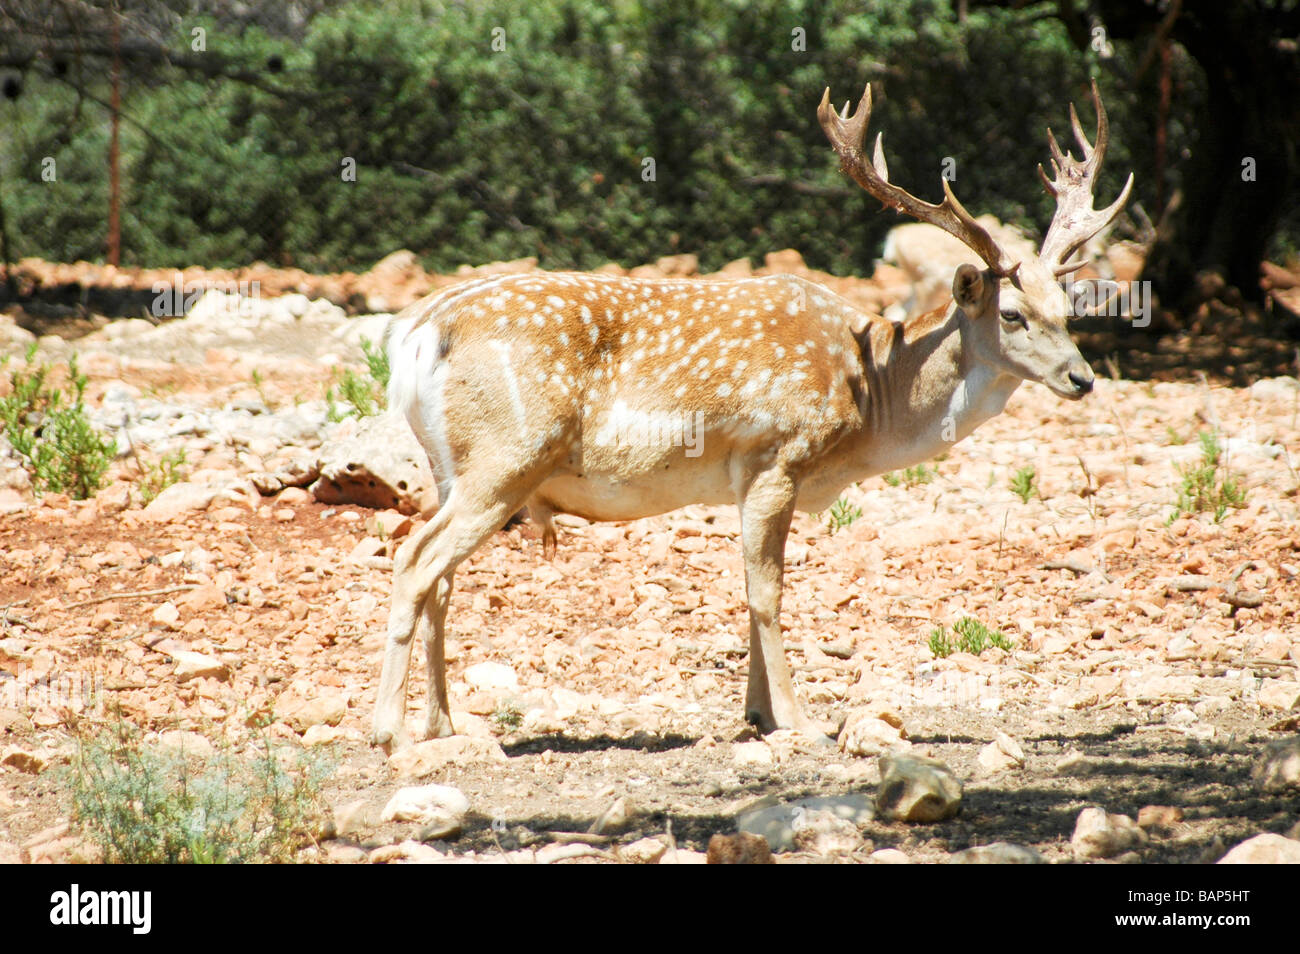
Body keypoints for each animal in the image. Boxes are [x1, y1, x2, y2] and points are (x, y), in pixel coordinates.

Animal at [371, 79, 1132, 751]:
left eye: (1068, 311)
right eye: (1012, 315)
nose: (1082, 378)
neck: (869, 398)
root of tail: (416, 335)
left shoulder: (743, 480)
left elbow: (745, 589)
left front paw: (758, 715)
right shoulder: (776, 455)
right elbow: (768, 593)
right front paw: (799, 721)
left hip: (453, 465)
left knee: (439, 576)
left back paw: (443, 726)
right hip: (508, 454)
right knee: (414, 558)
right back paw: (390, 733)